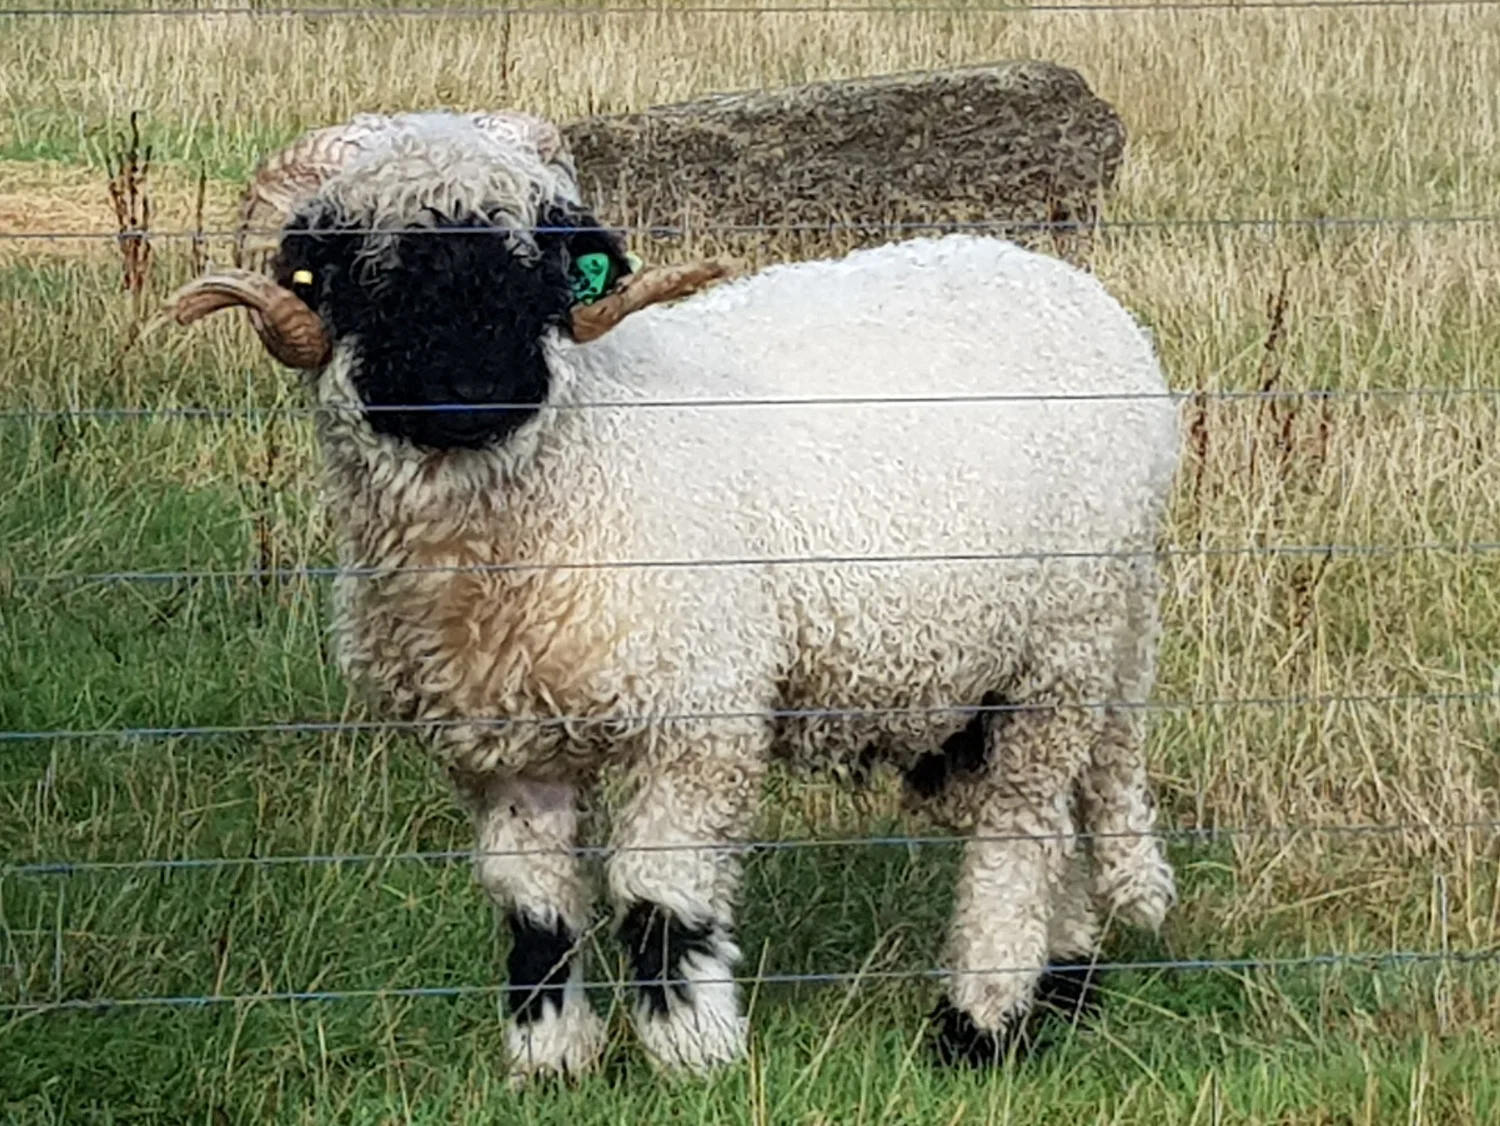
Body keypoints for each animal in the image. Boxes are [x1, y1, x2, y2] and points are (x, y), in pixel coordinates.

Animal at [158, 110, 1179, 1082]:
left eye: (545, 257)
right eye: (345, 264)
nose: (473, 391)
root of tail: (1078, 292)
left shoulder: (696, 717)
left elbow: (658, 903)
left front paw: (695, 1055)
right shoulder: (502, 749)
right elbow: (534, 913)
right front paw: (551, 1062)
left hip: (1065, 645)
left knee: (1022, 829)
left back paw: (981, 1022)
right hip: (974, 684)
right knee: (1052, 819)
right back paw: (1064, 985)